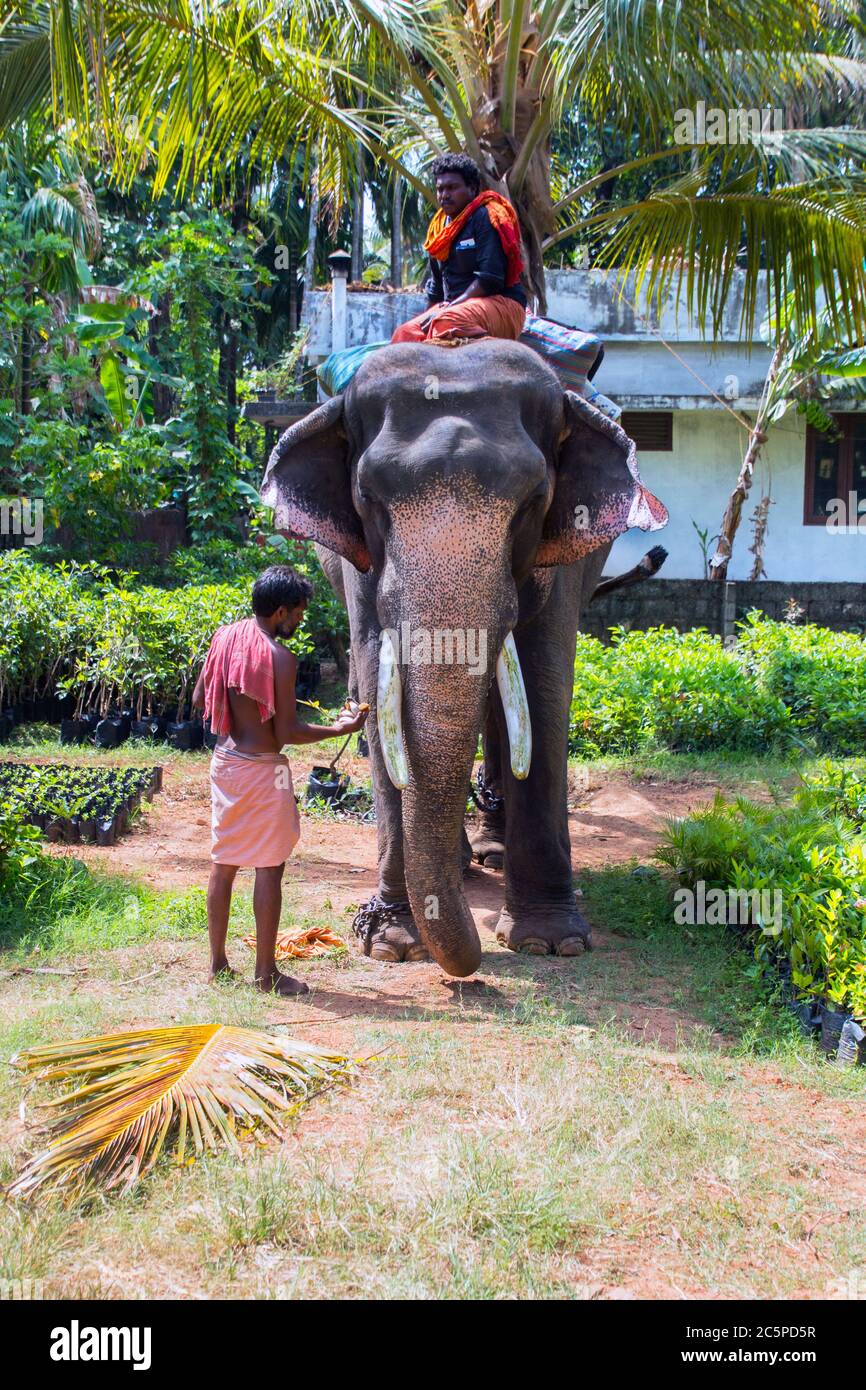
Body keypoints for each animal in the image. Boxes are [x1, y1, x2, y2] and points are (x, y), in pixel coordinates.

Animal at [261, 339, 667, 978]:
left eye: (533, 501)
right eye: (368, 499)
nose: (471, 963)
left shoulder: (561, 561)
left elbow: (545, 688)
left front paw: (549, 943)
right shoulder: (359, 568)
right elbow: (379, 690)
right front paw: (394, 944)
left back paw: (491, 858)